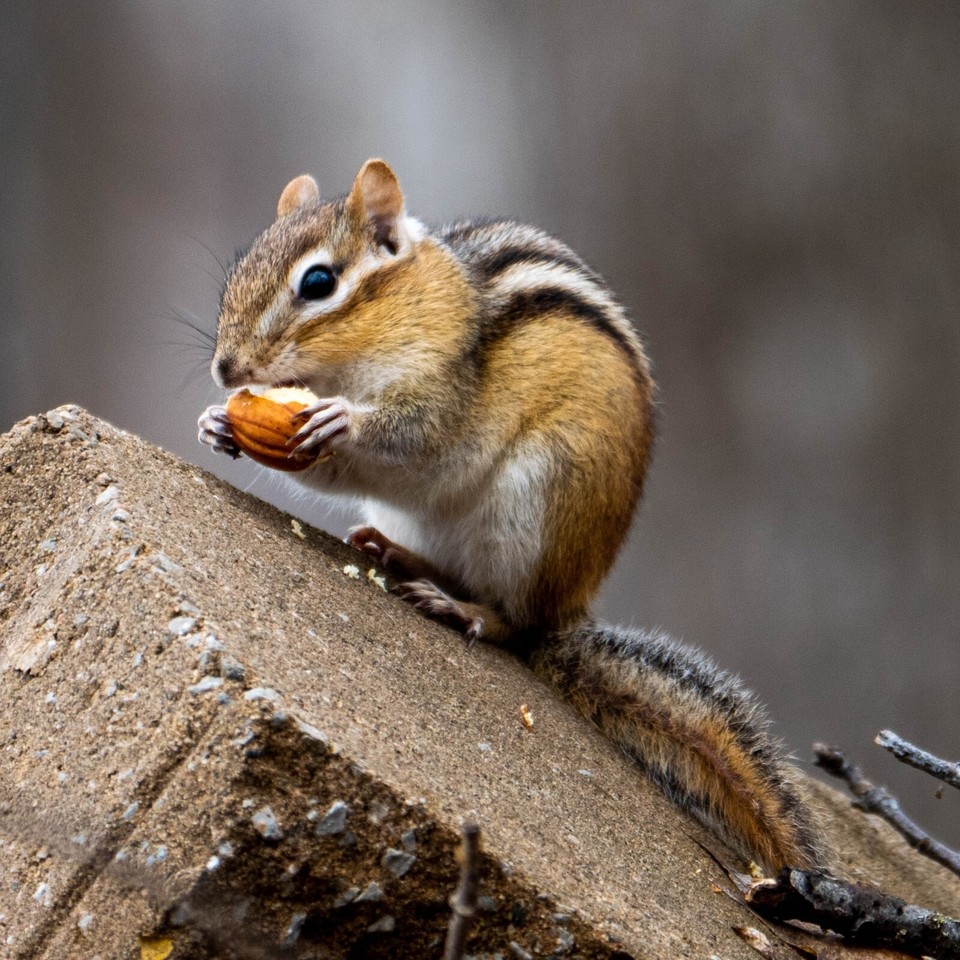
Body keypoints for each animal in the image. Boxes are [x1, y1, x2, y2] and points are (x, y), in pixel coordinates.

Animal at [198, 158, 825, 873]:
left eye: (319, 283)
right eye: (240, 268)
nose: (225, 370)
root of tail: (568, 611)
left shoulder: (445, 387)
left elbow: (414, 431)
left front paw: (342, 419)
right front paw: (217, 424)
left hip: (532, 505)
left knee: (513, 622)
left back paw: (460, 609)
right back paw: (397, 555)